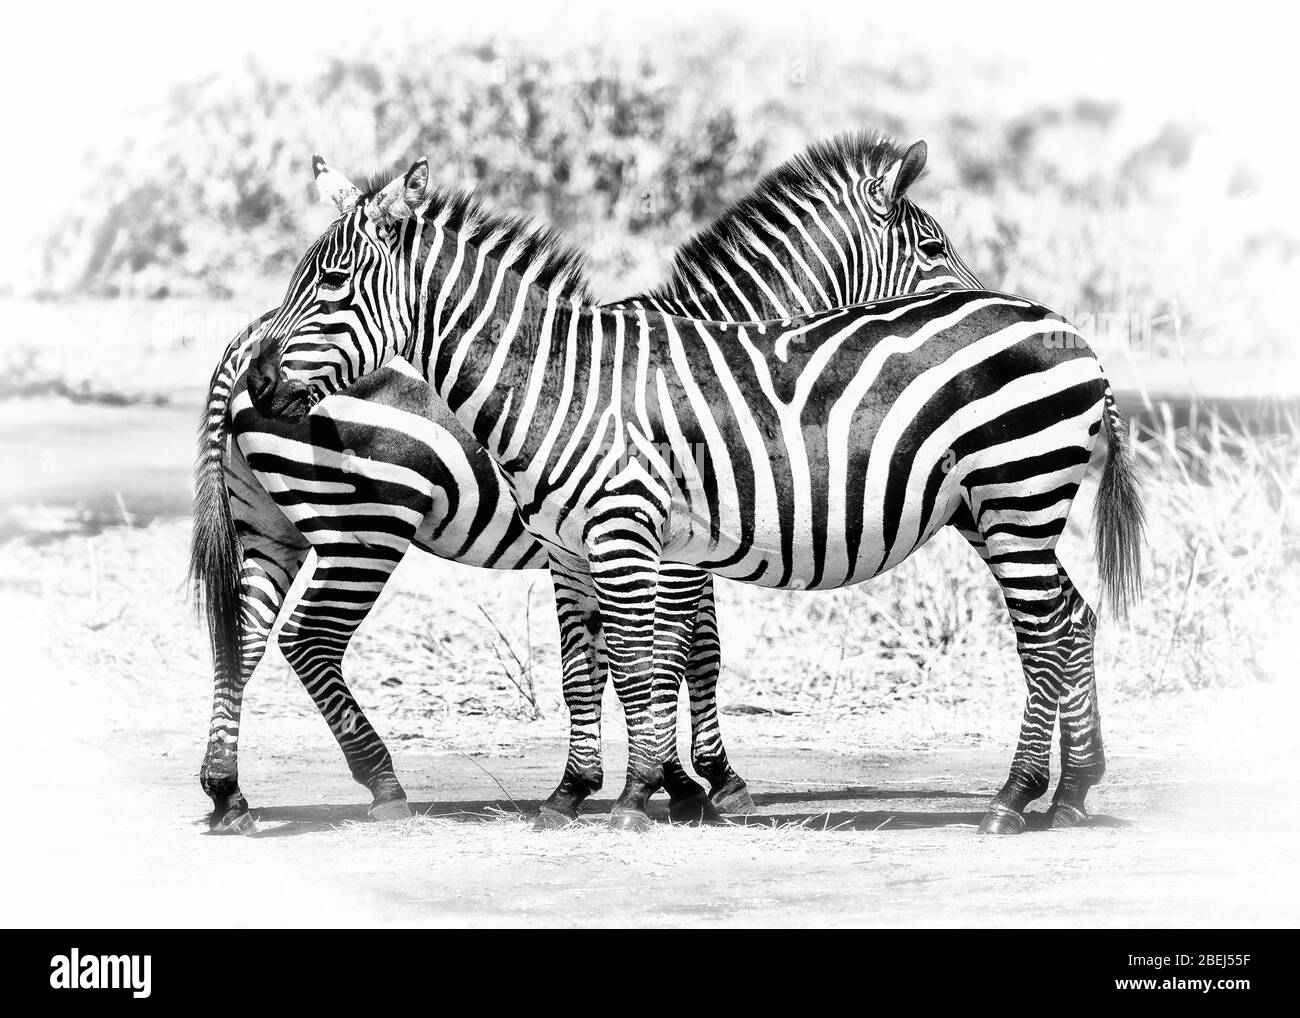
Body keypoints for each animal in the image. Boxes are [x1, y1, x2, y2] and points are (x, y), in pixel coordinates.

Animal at [247, 155, 1145, 836]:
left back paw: (1019, 798)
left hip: (1015, 495)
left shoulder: (634, 535)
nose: (262, 381)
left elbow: (659, 657)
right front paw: (599, 792)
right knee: (1067, 619)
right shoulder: (581, 548)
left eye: (331, 282)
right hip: (1003, 507)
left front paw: (654, 792)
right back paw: (1066, 793)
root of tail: (1066, 331)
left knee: (1049, 630)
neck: (556, 378)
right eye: (931, 244)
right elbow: (603, 665)